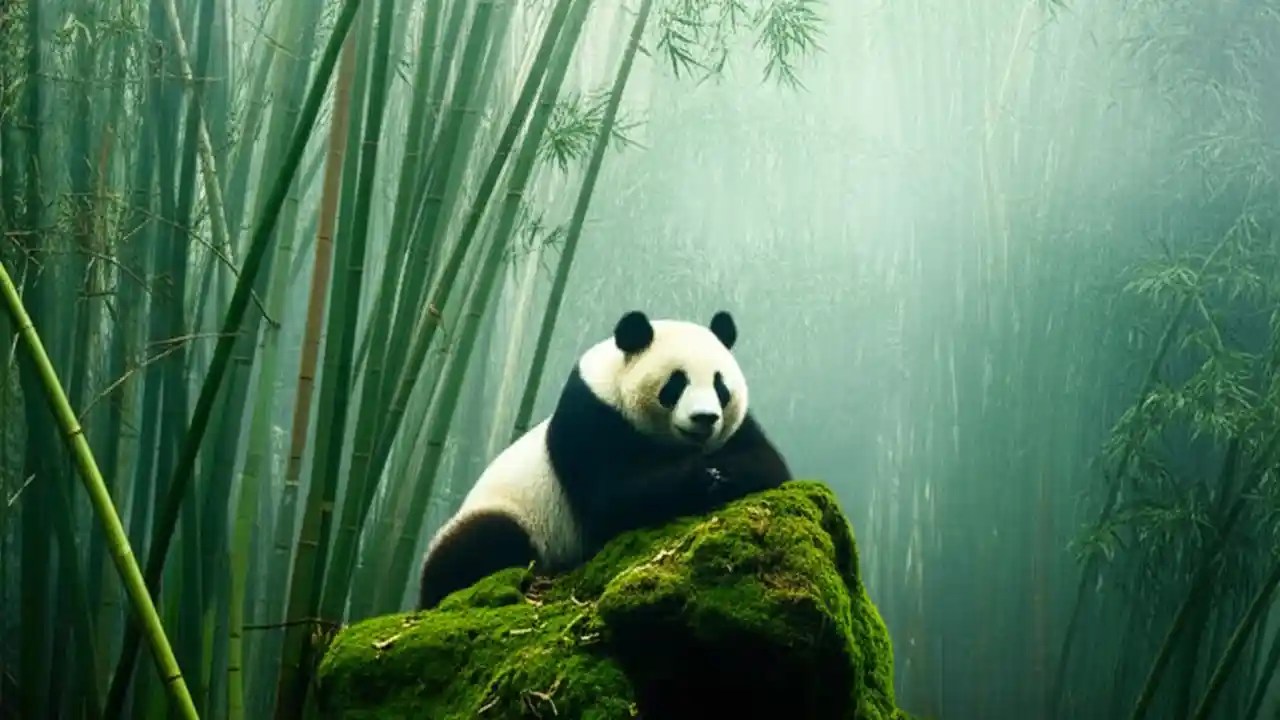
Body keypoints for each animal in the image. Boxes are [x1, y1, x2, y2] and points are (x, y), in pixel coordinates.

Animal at [416, 309, 793, 610]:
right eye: (676, 383)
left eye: (720, 386)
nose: (704, 418)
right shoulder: (590, 419)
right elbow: (610, 502)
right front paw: (698, 478)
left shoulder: (738, 429)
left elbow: (769, 465)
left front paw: (725, 473)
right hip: (511, 514)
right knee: (481, 543)